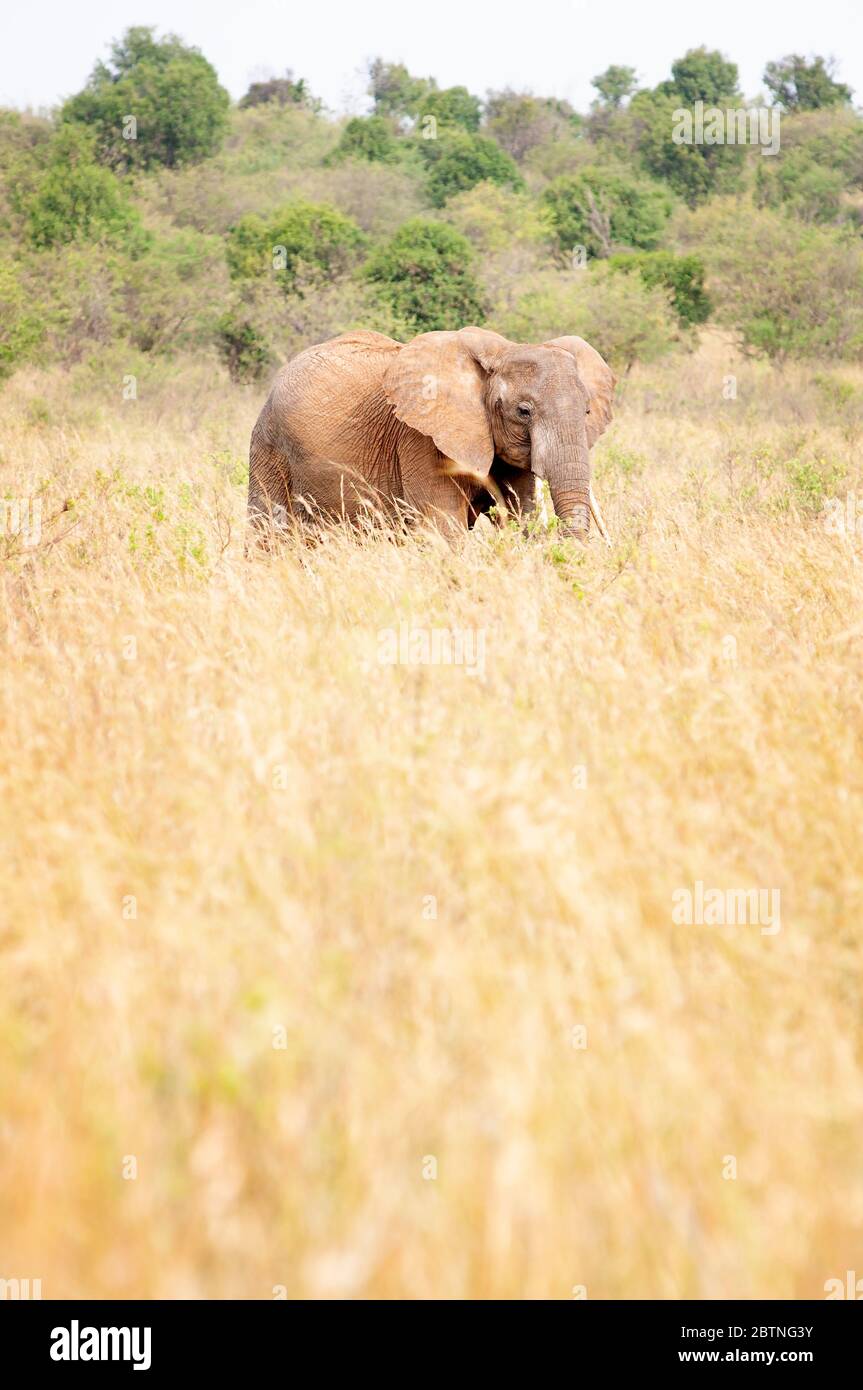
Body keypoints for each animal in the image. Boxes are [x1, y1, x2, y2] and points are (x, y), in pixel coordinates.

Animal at [247, 326, 615, 543]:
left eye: (586, 412)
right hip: (268, 445)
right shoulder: (420, 438)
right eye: (523, 412)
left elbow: (517, 514)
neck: (503, 350)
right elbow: (443, 529)